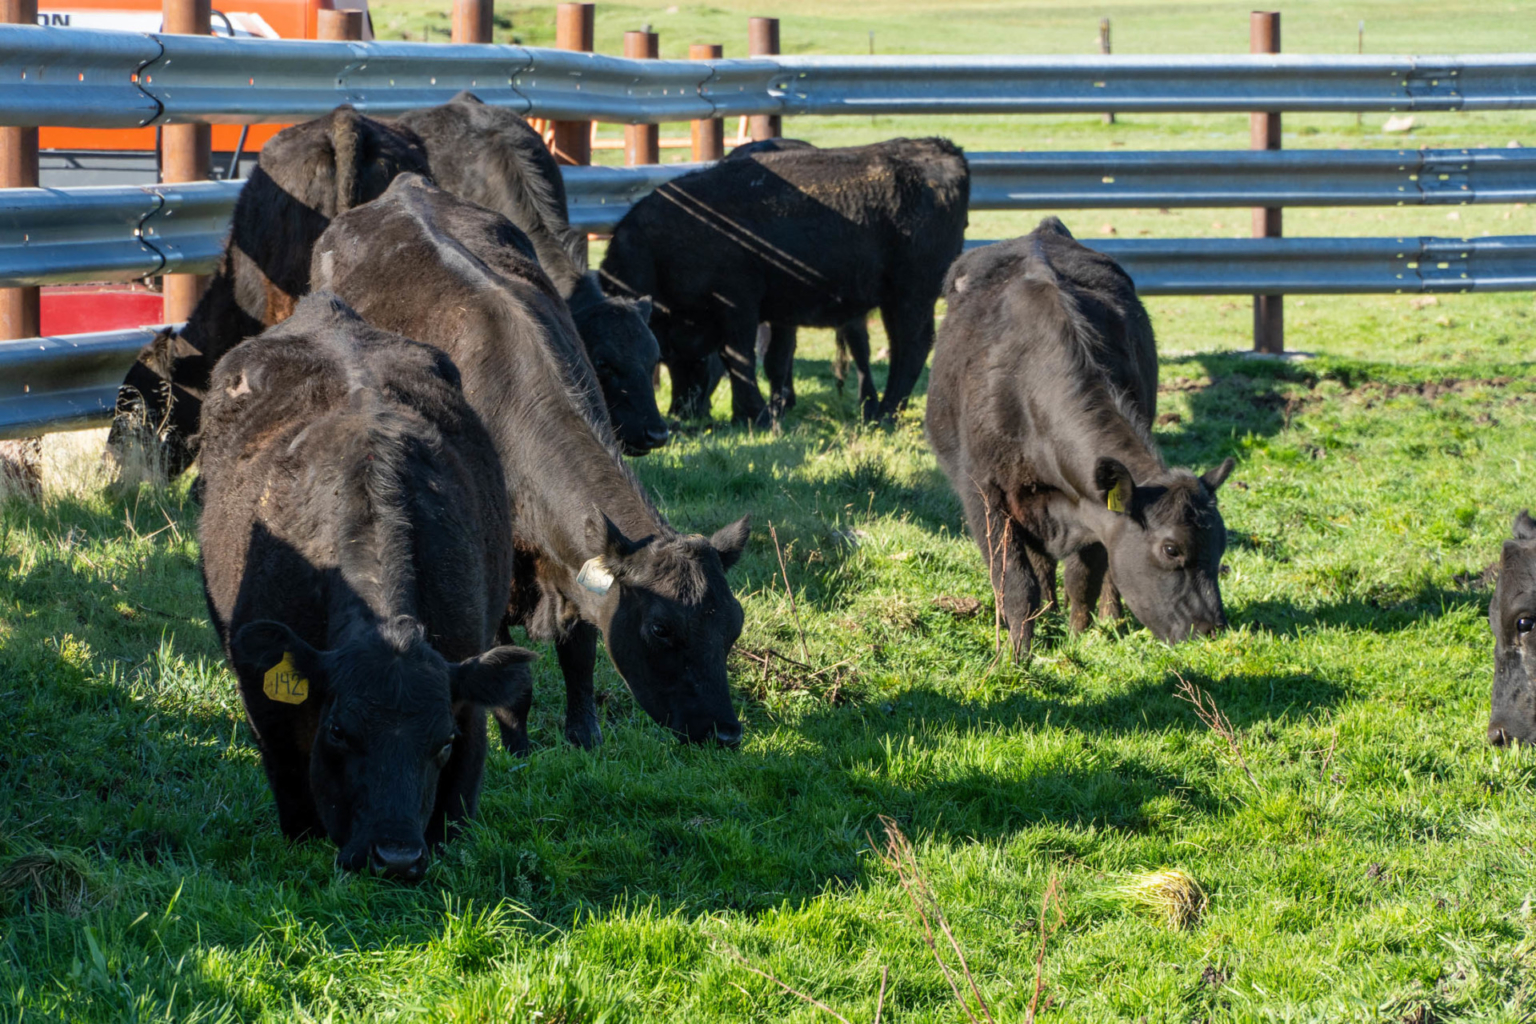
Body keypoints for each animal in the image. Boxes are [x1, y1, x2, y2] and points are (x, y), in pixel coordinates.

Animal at [199, 291, 536, 880]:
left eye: (442, 740)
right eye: (339, 731)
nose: (395, 855)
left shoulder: (467, 695)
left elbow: (456, 807)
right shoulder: (268, 705)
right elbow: (296, 799)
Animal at [310, 174, 751, 750]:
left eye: (733, 624)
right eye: (661, 628)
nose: (725, 731)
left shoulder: (576, 567)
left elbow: (579, 657)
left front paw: (585, 739)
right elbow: (511, 680)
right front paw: (517, 748)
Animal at [600, 137, 970, 427]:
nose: (682, 409)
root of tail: (941, 149)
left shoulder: (738, 305)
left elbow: (739, 357)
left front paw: (755, 415)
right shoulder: (772, 314)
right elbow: (772, 359)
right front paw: (763, 411)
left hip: (910, 296)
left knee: (911, 346)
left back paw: (885, 414)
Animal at [926, 217, 1235, 658]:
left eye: (1221, 545)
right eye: (1171, 549)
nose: (1211, 629)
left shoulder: (1090, 501)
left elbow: (1084, 576)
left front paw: (1079, 635)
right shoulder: (985, 494)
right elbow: (1015, 582)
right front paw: (1016, 655)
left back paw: (1110, 617)